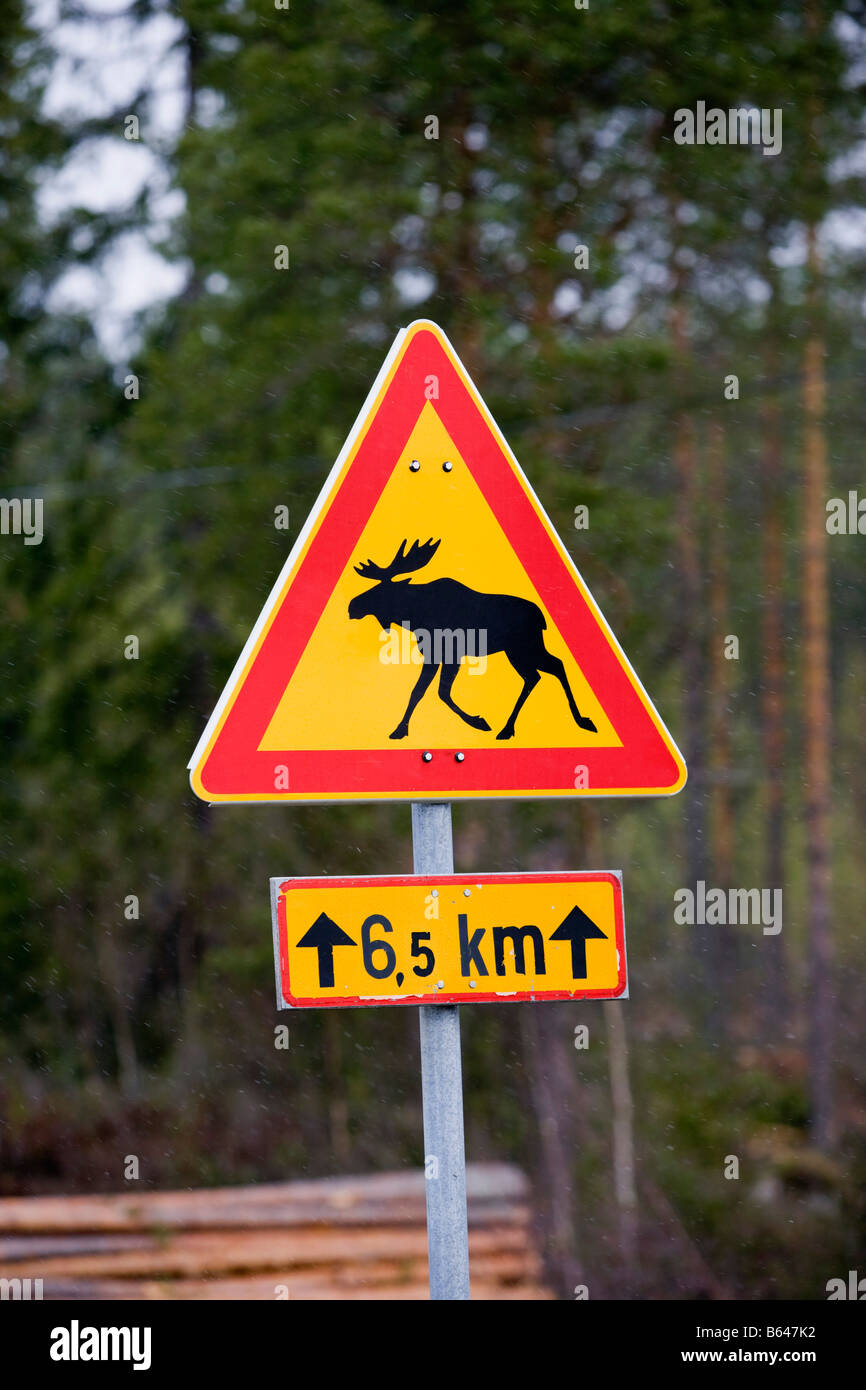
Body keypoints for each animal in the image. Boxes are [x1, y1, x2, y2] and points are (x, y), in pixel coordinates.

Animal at [348, 538, 598, 741]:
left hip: (524, 648)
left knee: (551, 668)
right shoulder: (435, 654)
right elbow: (422, 691)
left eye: (381, 591)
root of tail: (542, 618)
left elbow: (437, 692)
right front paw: (400, 729)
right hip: (519, 651)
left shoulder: (448, 653)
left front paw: (478, 722)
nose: (351, 606)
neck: (416, 614)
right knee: (542, 672)